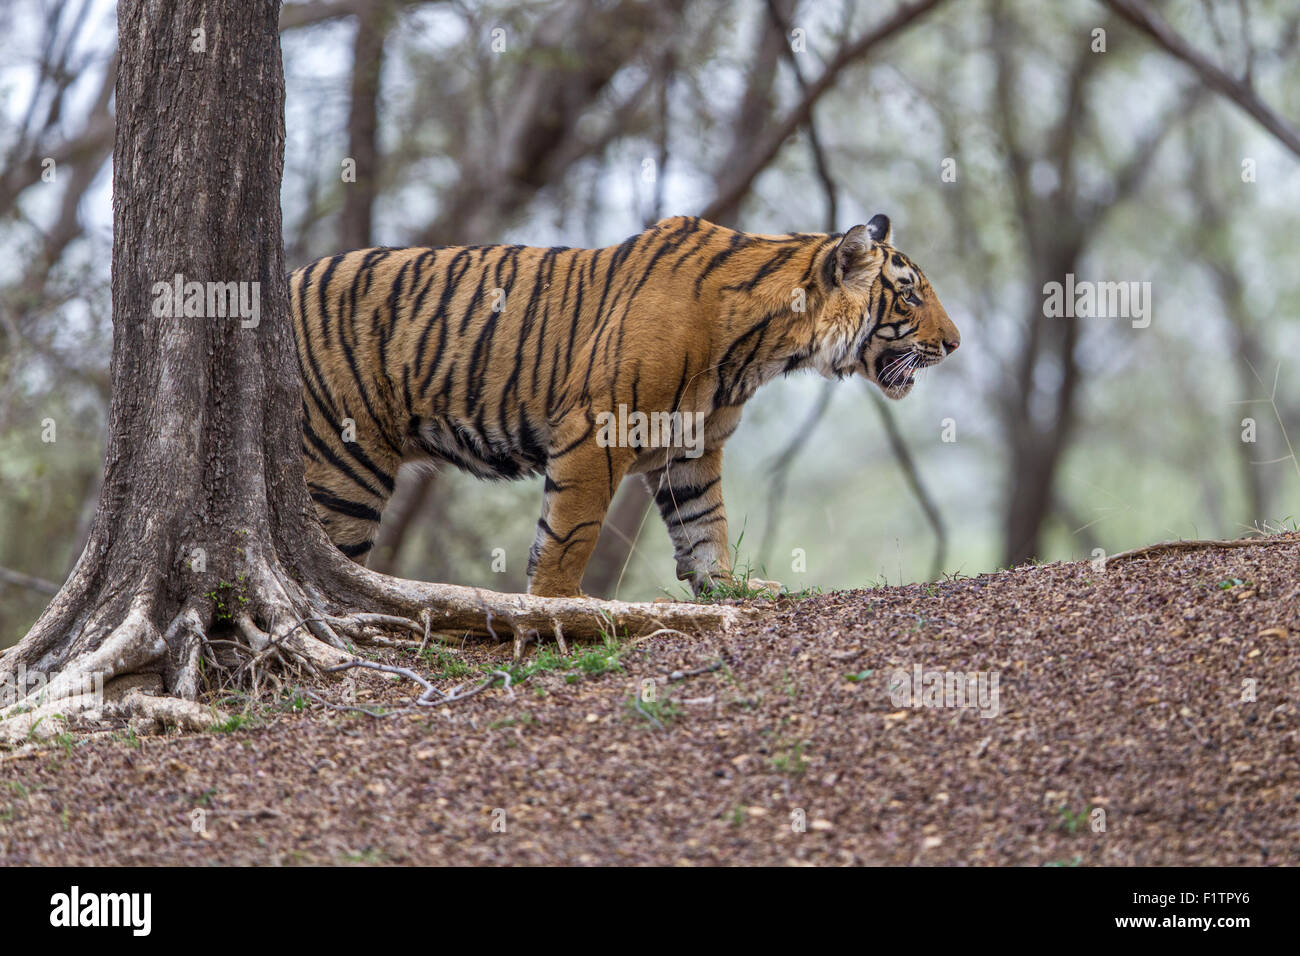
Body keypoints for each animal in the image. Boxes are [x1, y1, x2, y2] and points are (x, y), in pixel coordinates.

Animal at [288, 213, 959, 598]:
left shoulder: (692, 444)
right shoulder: (597, 427)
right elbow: (571, 530)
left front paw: (731, 586)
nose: (954, 344)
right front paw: (557, 605)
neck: (764, 348)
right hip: (344, 468)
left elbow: (705, 520)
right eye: (909, 295)